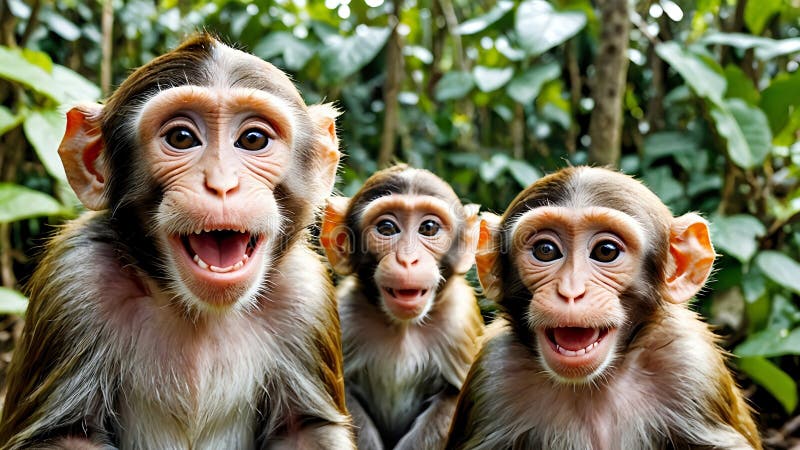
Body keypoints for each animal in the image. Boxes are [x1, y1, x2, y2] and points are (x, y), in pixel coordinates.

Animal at [0, 33, 355, 449]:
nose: (221, 183)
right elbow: (64, 436)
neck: (197, 311)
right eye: (181, 138)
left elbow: (305, 429)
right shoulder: (74, 279)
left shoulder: (304, 294)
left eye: (253, 139)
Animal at [320, 164, 484, 450]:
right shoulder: (346, 314)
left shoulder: (459, 321)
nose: (408, 260)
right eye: (387, 228)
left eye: (429, 228)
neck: (403, 327)